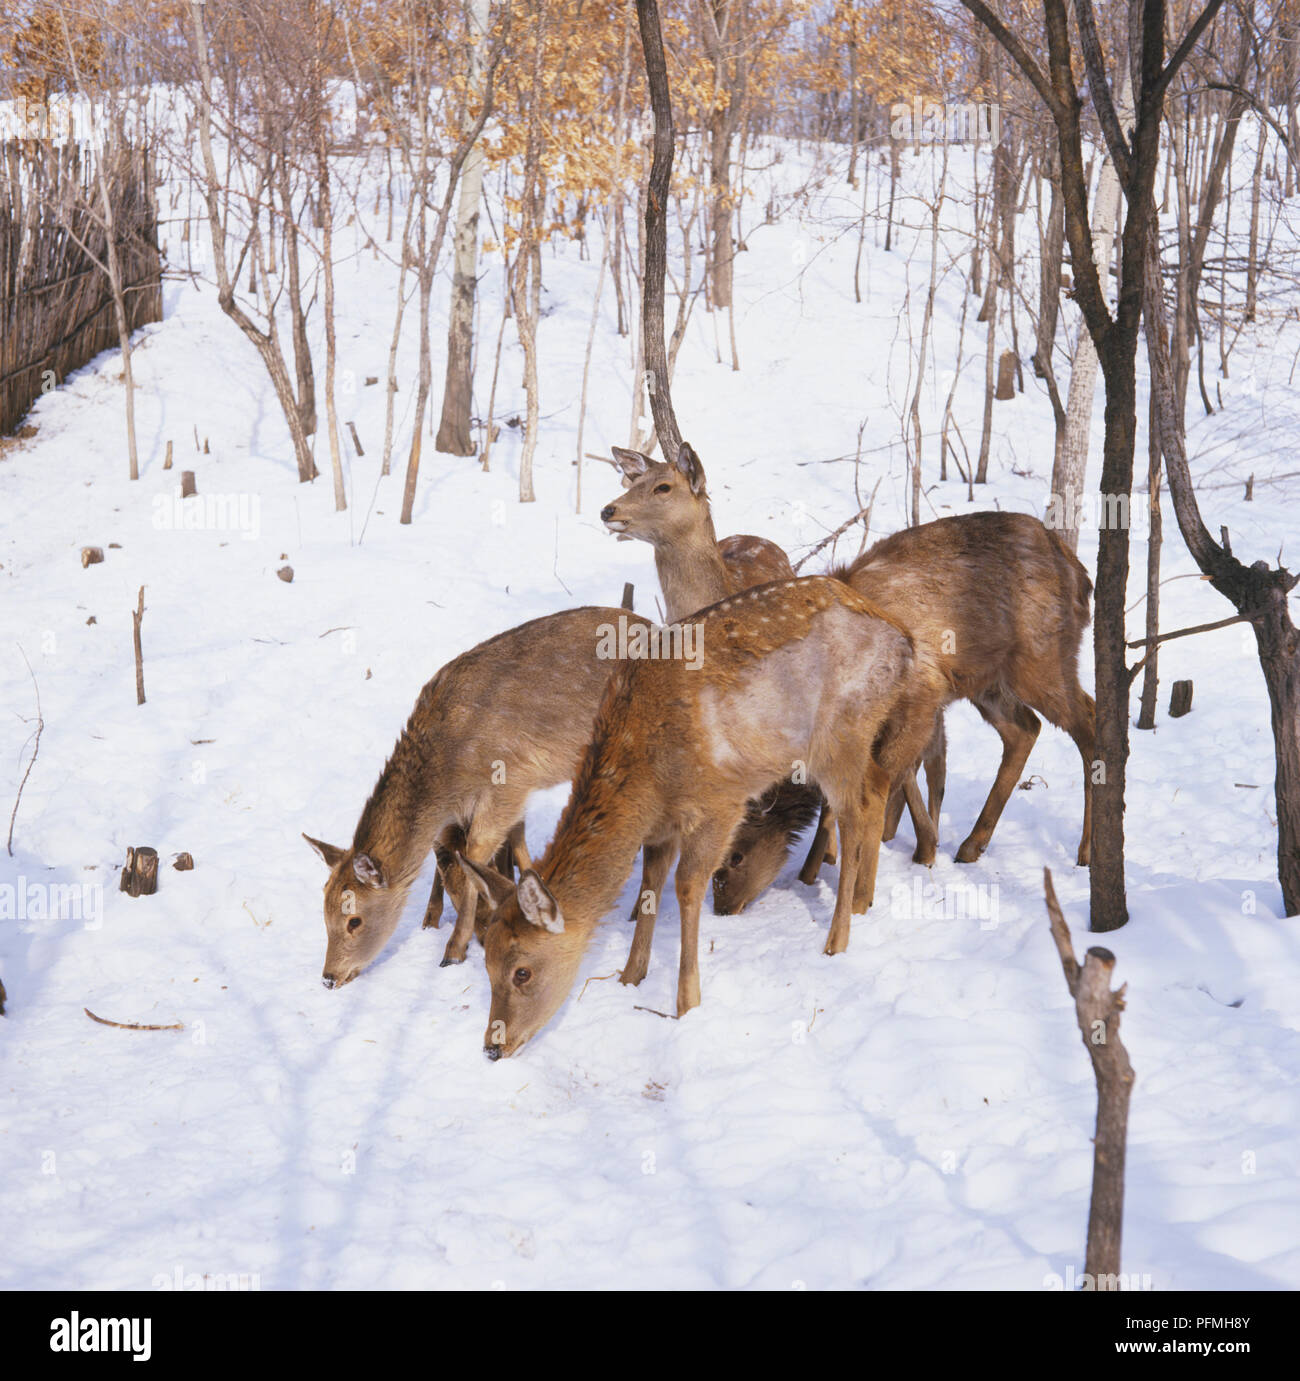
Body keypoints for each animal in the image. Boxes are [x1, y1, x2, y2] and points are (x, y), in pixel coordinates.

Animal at [303, 605, 659, 985]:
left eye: (354, 920)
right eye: (323, 912)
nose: (328, 977)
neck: (451, 772)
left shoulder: (508, 783)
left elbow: (472, 856)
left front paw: (455, 950)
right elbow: (487, 849)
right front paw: (435, 920)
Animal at [458, 573, 949, 1060]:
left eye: (522, 971)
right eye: (486, 964)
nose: (492, 1047)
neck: (647, 779)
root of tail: (903, 638)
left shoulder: (719, 802)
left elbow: (687, 887)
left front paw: (686, 1003)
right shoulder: (660, 829)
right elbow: (650, 885)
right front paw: (630, 977)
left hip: (839, 732)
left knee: (856, 808)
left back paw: (836, 940)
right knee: (878, 786)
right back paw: (864, 903)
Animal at [710, 511, 1096, 916]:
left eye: (735, 856)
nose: (722, 908)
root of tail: (1081, 576)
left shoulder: (921, 698)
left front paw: (847, 882)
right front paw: (815, 871)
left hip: (1041, 659)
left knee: (1088, 720)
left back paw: (1085, 851)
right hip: (987, 680)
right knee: (1025, 728)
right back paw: (972, 844)